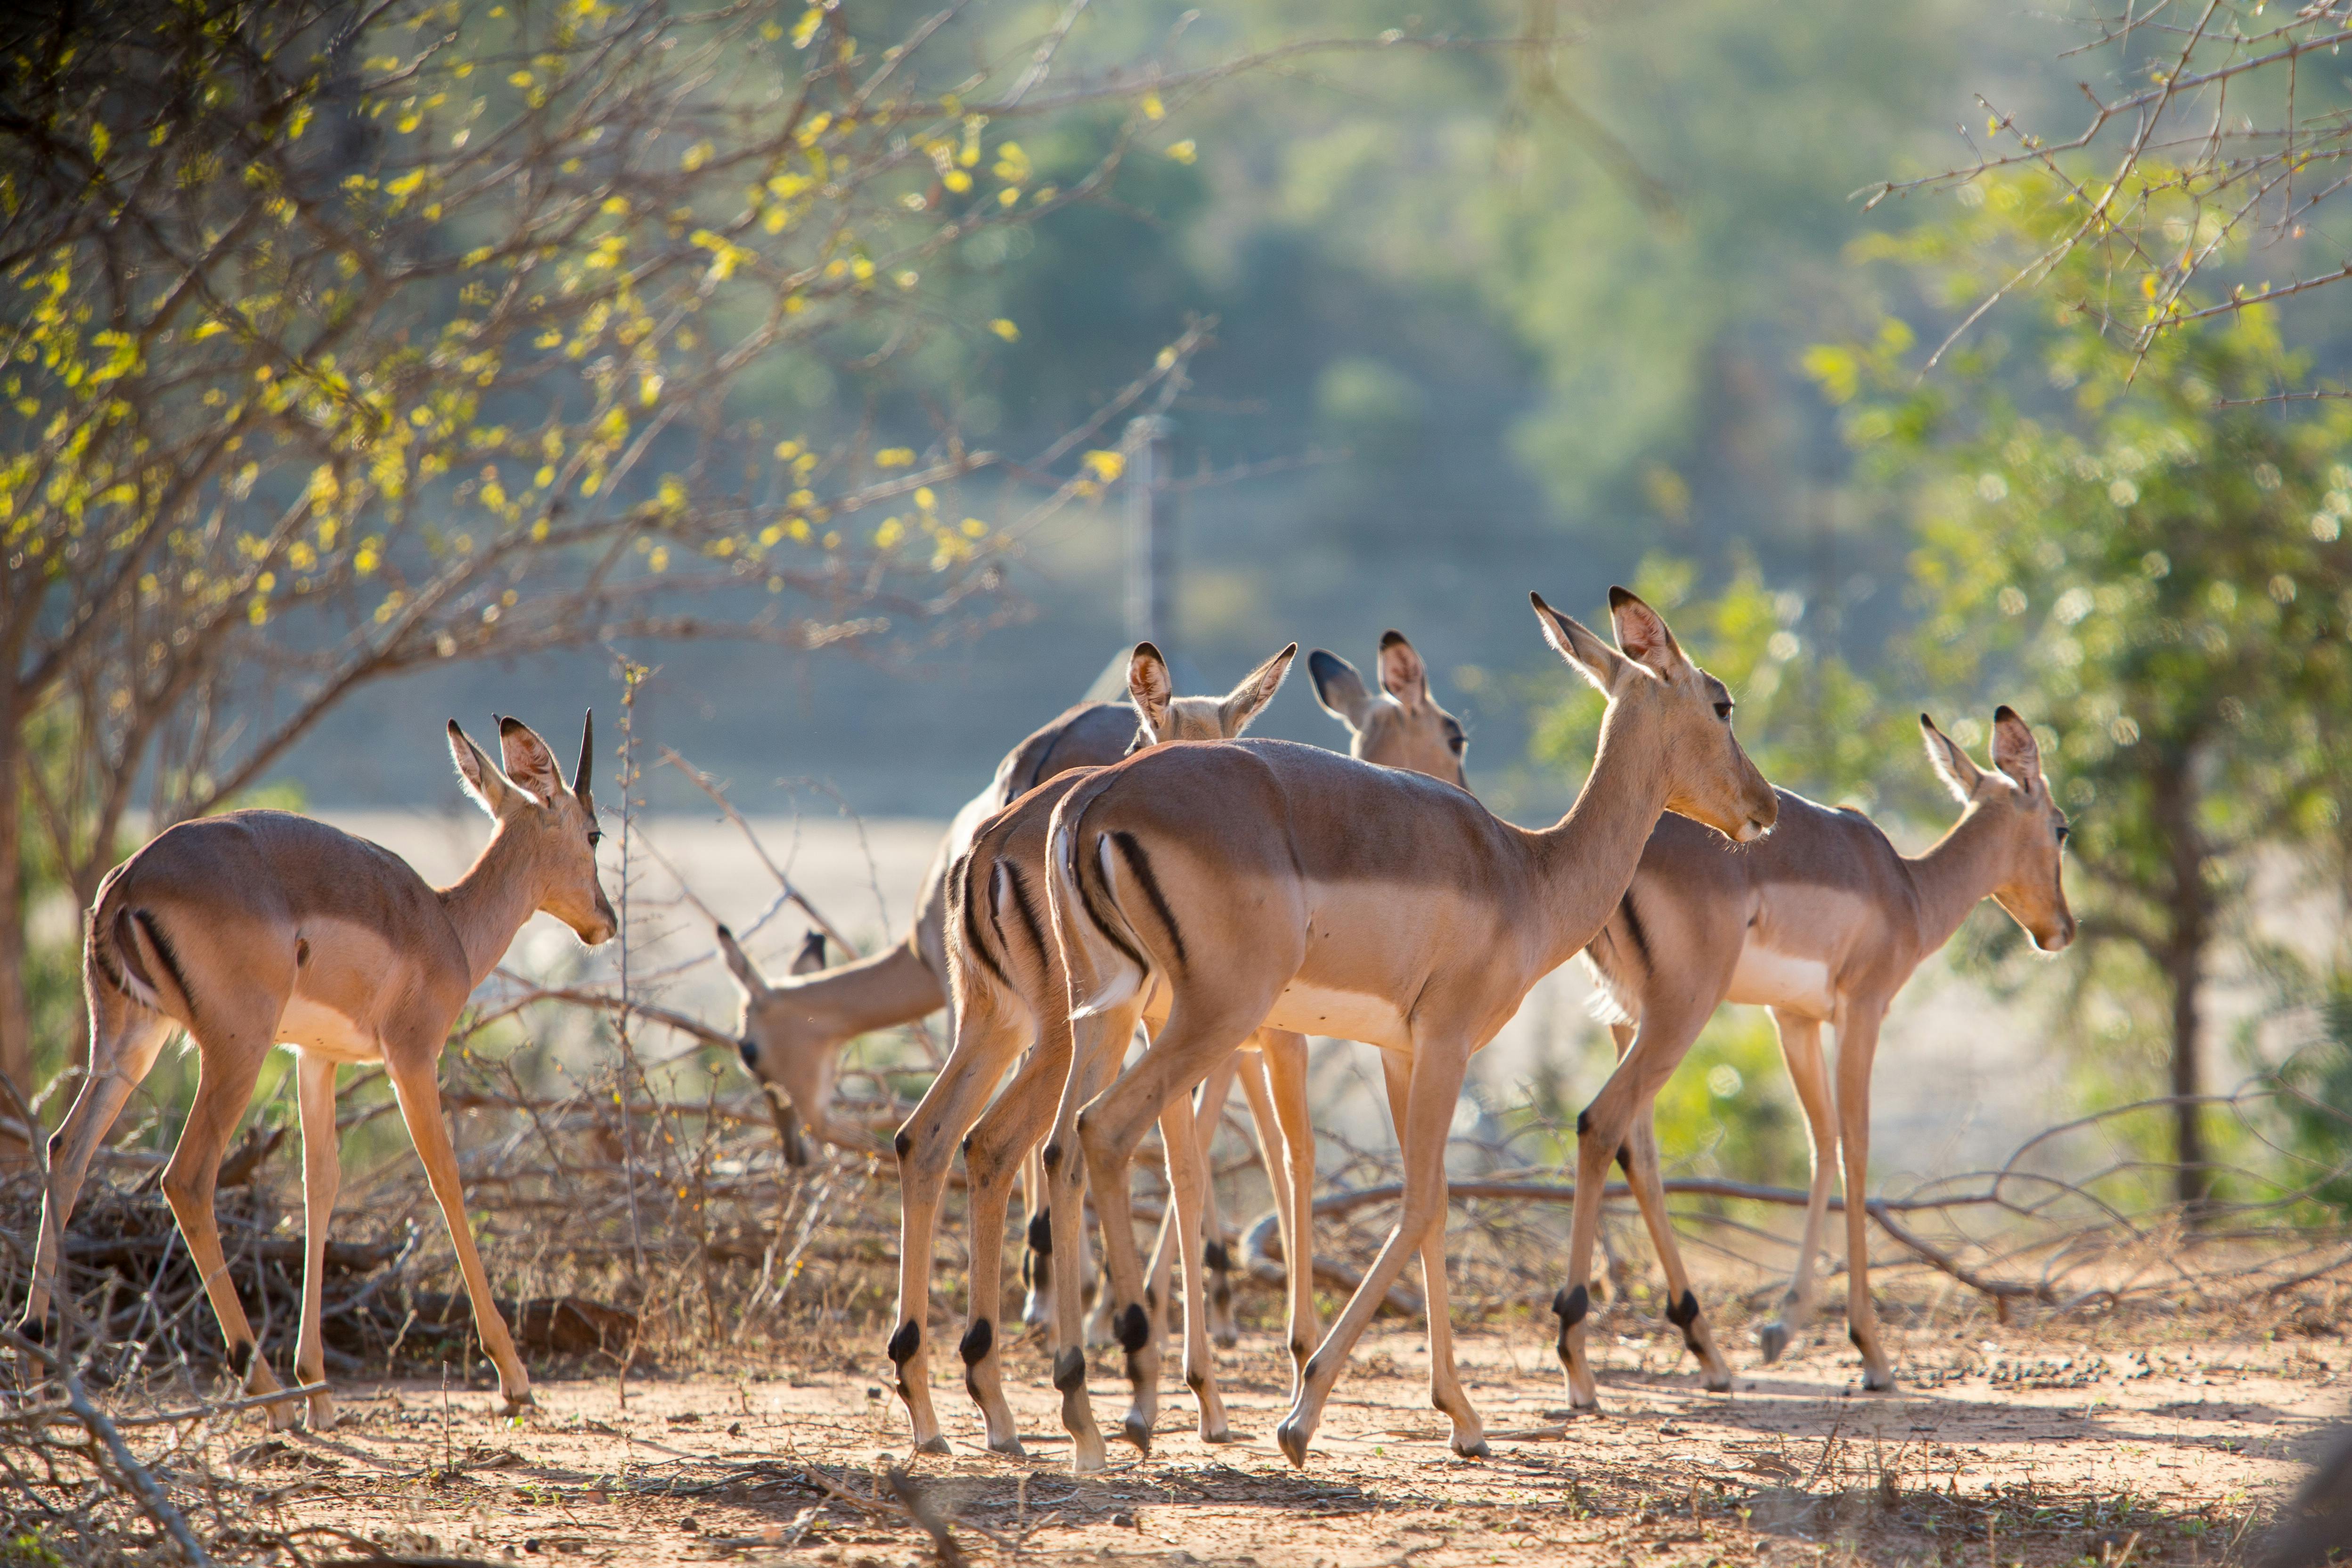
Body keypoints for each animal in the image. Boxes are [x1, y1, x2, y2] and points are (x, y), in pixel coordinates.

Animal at [16, 715, 613, 1429]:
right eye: (594, 832)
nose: (606, 920)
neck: (447, 926)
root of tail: (126, 883)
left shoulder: (315, 1059)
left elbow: (319, 1186)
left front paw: (319, 1391)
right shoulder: (412, 1056)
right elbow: (446, 1179)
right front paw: (514, 1378)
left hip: (129, 1045)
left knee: (66, 1150)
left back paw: (36, 1365)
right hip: (234, 1053)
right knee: (185, 1178)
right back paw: (262, 1384)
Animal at [889, 640, 1297, 1456]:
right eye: (1141, 737)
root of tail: (987, 846)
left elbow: (1182, 1171)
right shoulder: (1172, 1031)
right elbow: (1181, 1174)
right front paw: (1198, 1397)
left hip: (998, 1028)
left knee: (932, 1140)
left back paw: (943, 1410)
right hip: (1058, 1040)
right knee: (1015, 1145)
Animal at [1038, 589, 1777, 1471]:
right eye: (1721, 702)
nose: (1766, 806)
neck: (1526, 871)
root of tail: (1094, 805)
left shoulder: (1401, 1051)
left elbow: (1438, 1202)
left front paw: (1459, 1414)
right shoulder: (1448, 1043)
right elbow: (1422, 1201)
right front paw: (1302, 1416)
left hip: (1105, 1013)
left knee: (1058, 1147)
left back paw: (1080, 1411)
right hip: (1207, 1019)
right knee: (1107, 1132)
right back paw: (1138, 1397)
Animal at [1557, 707, 2072, 1401]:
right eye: (2061, 827)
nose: (2062, 929)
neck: (1907, 889)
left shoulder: (1793, 1019)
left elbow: (1820, 1142)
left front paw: (1783, 1326)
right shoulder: (1863, 1010)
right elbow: (1856, 1145)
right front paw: (1872, 1352)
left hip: (1629, 1020)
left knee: (1637, 1148)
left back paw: (1708, 1352)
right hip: (1679, 1015)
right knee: (1600, 1122)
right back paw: (1578, 1361)